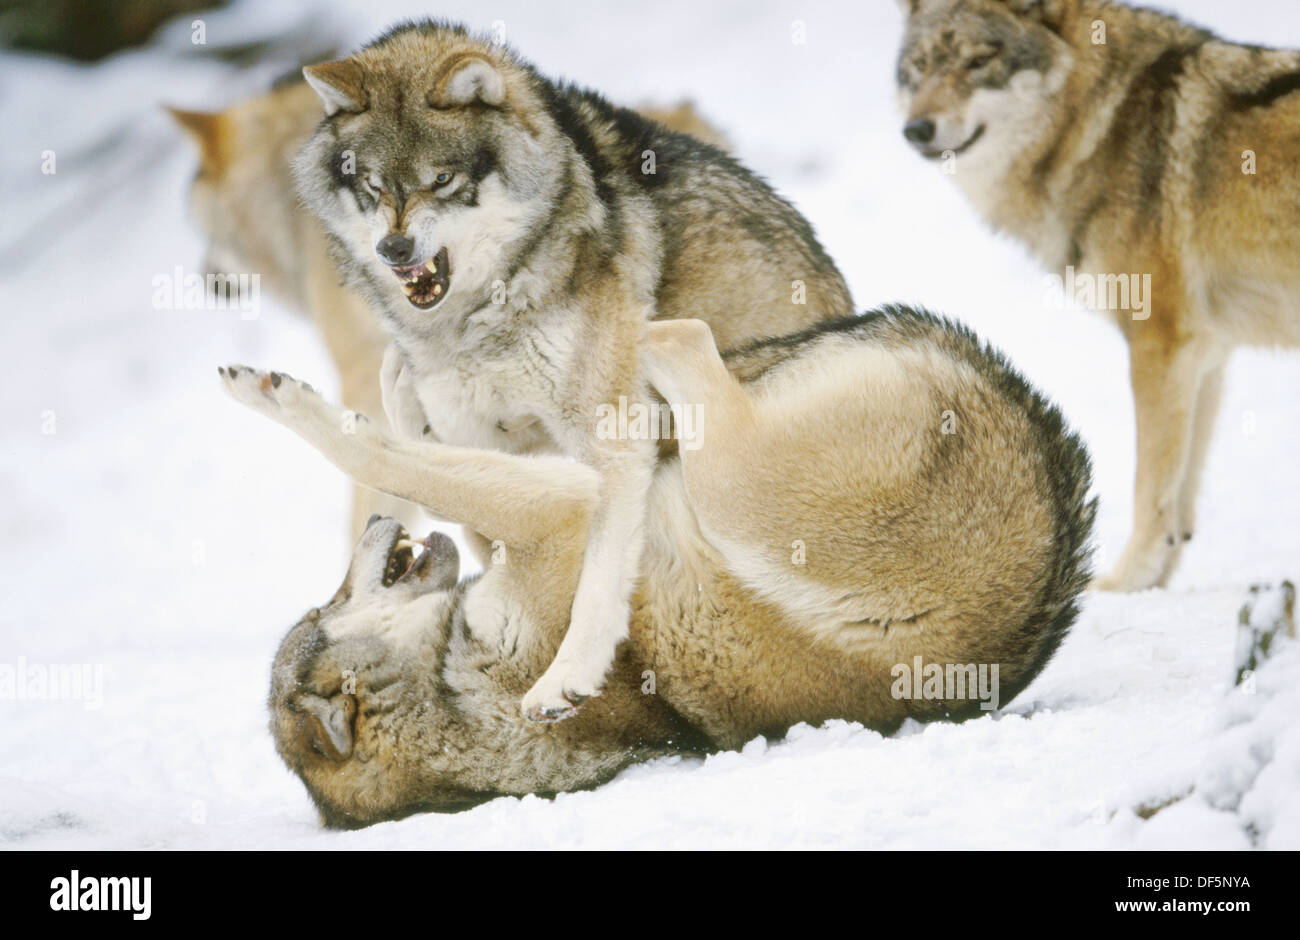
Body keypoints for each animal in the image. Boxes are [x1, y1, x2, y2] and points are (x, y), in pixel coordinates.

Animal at [219, 305, 1095, 826]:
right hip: (736, 484)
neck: (452, 686)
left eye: (323, 602)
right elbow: (388, 455)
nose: (376, 527)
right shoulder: (567, 509)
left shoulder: (554, 511)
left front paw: (299, 395)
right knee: (681, 339)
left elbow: (402, 449)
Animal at [292, 21, 854, 720]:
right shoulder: (489, 435)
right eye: (371, 185)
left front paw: (568, 675)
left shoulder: (612, 437)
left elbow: (596, 575)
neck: (484, 313)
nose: (394, 250)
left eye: (442, 179)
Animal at [895, 0, 1300, 591]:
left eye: (977, 61)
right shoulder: (1207, 354)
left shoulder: (1160, 346)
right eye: (921, 66)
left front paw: (1124, 584)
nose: (916, 129)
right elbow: (1180, 502)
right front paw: (1154, 590)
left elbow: (1150, 490)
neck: (1099, 123)